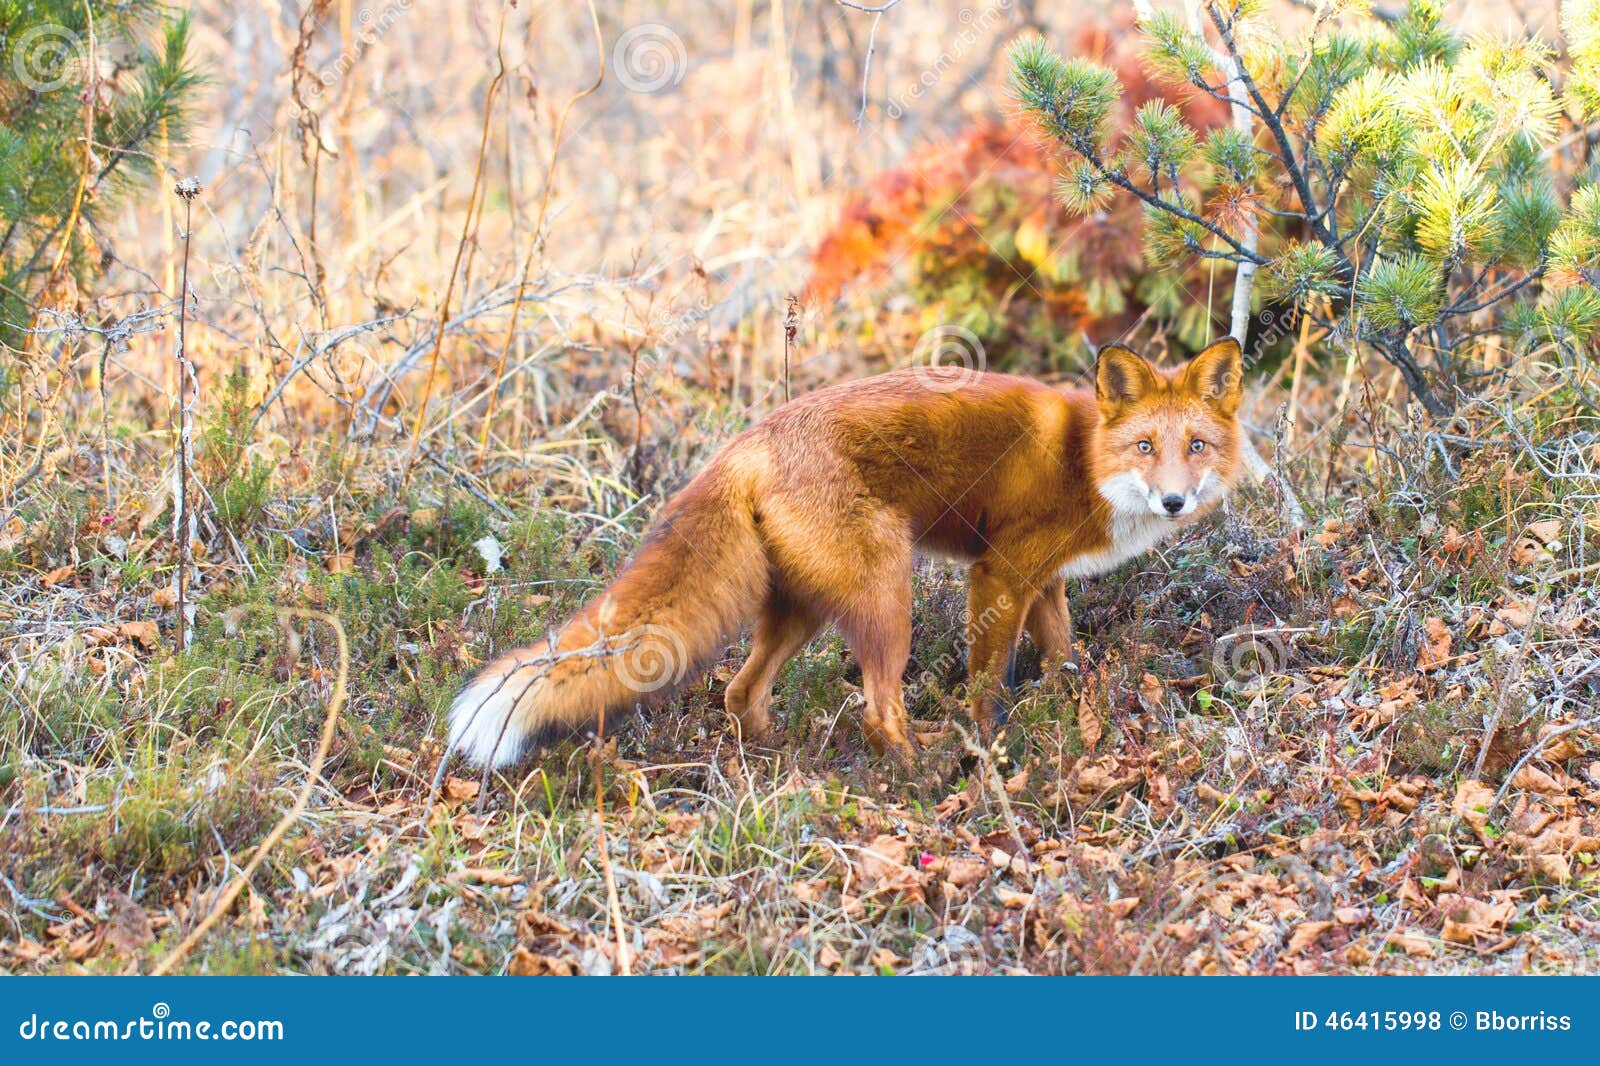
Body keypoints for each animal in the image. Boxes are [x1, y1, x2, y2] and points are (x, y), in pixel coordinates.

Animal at [447, 337, 1244, 769]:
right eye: (1146, 447)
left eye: (1196, 446)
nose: (1175, 502)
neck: (1084, 463)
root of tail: (747, 440)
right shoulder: (1000, 573)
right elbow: (987, 685)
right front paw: (989, 744)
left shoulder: (1044, 585)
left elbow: (1065, 659)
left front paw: (1073, 714)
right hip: (886, 597)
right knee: (879, 711)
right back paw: (922, 773)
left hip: (801, 609)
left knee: (741, 692)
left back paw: (778, 758)